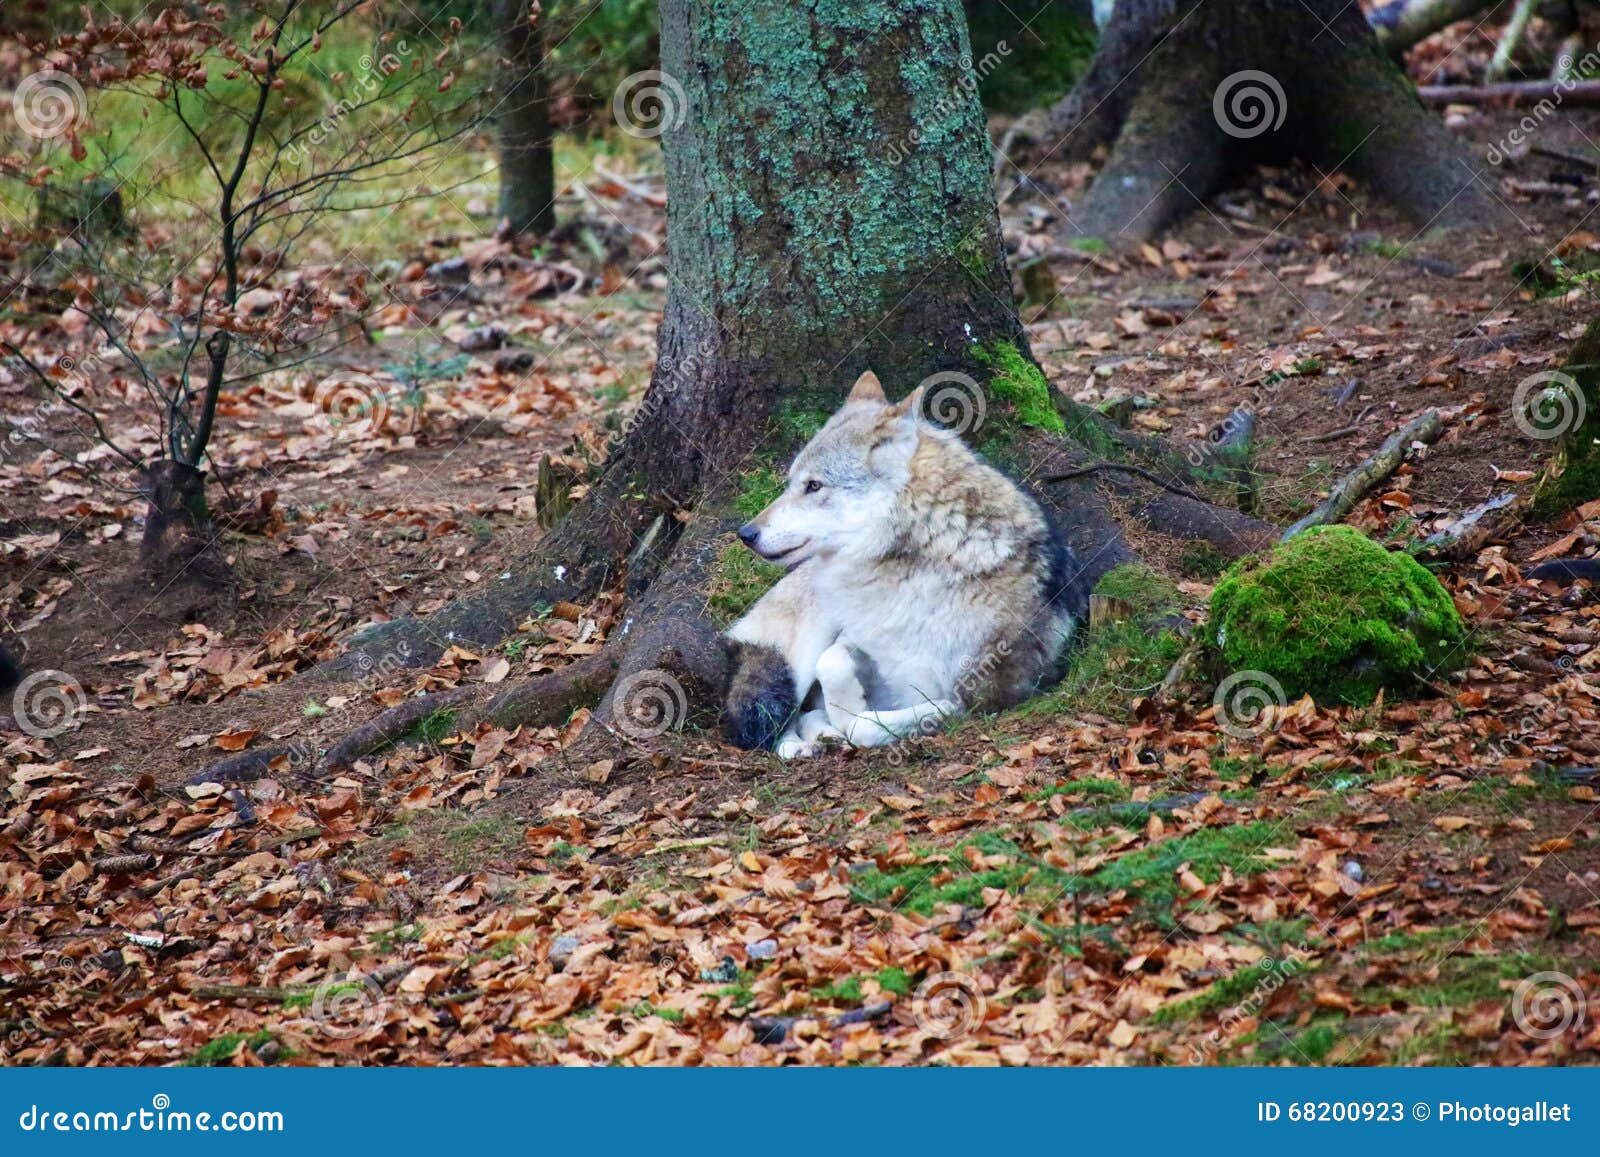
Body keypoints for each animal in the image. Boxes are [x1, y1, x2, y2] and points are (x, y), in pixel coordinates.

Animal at [722, 370, 1090, 758]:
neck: (919, 566)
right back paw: (799, 745)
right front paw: (843, 711)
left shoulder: (972, 700)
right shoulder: (858, 638)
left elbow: (865, 724)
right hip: (809, 639)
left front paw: (847, 719)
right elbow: (833, 662)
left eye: (814, 486)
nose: (746, 533)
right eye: (792, 483)